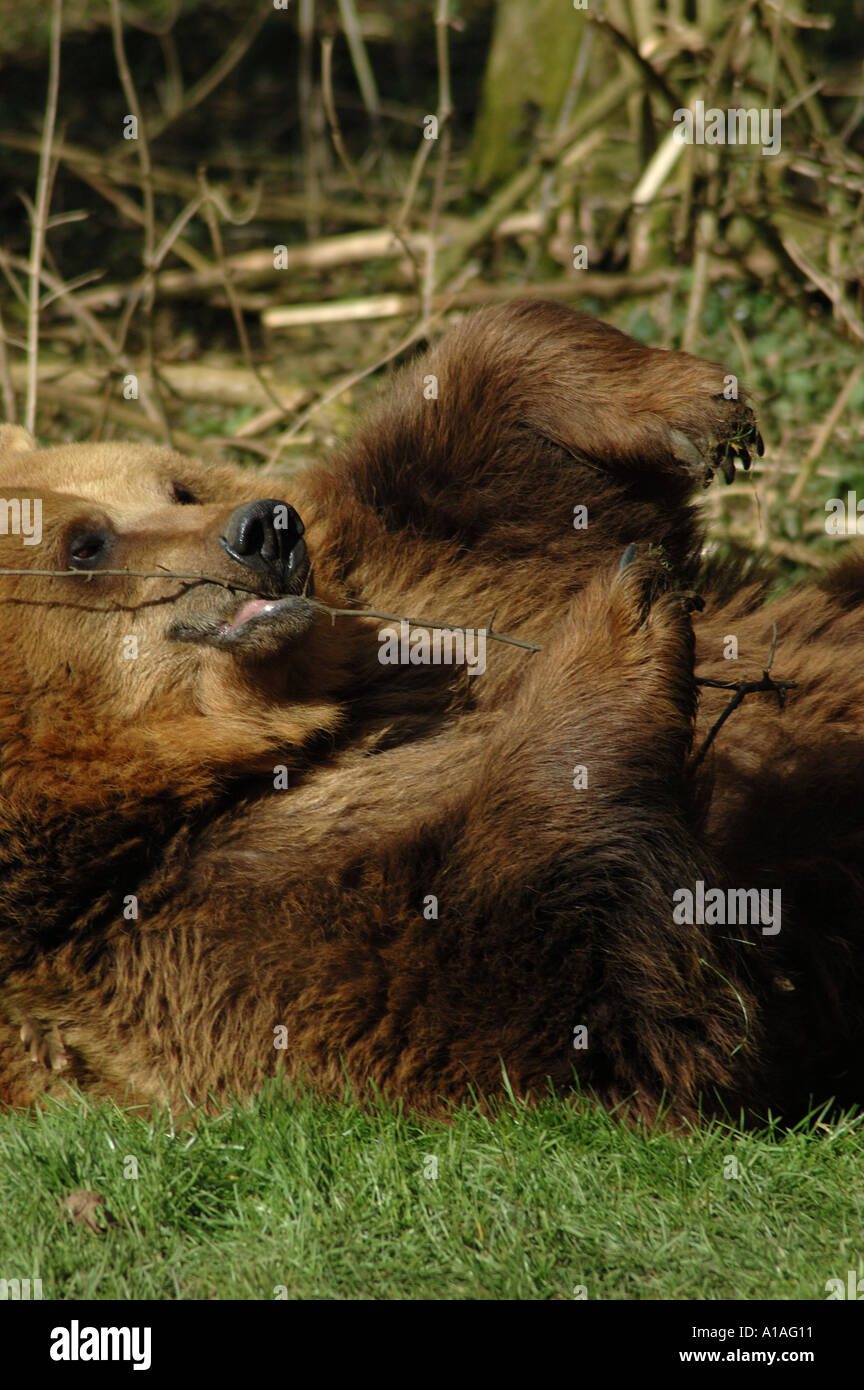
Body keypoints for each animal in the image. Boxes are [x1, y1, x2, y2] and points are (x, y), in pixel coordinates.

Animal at [0, 298, 862, 1125]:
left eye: (180, 485)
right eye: (85, 546)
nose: (262, 528)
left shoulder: (422, 581)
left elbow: (492, 462)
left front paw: (693, 408)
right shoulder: (166, 933)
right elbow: (542, 986)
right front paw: (620, 621)